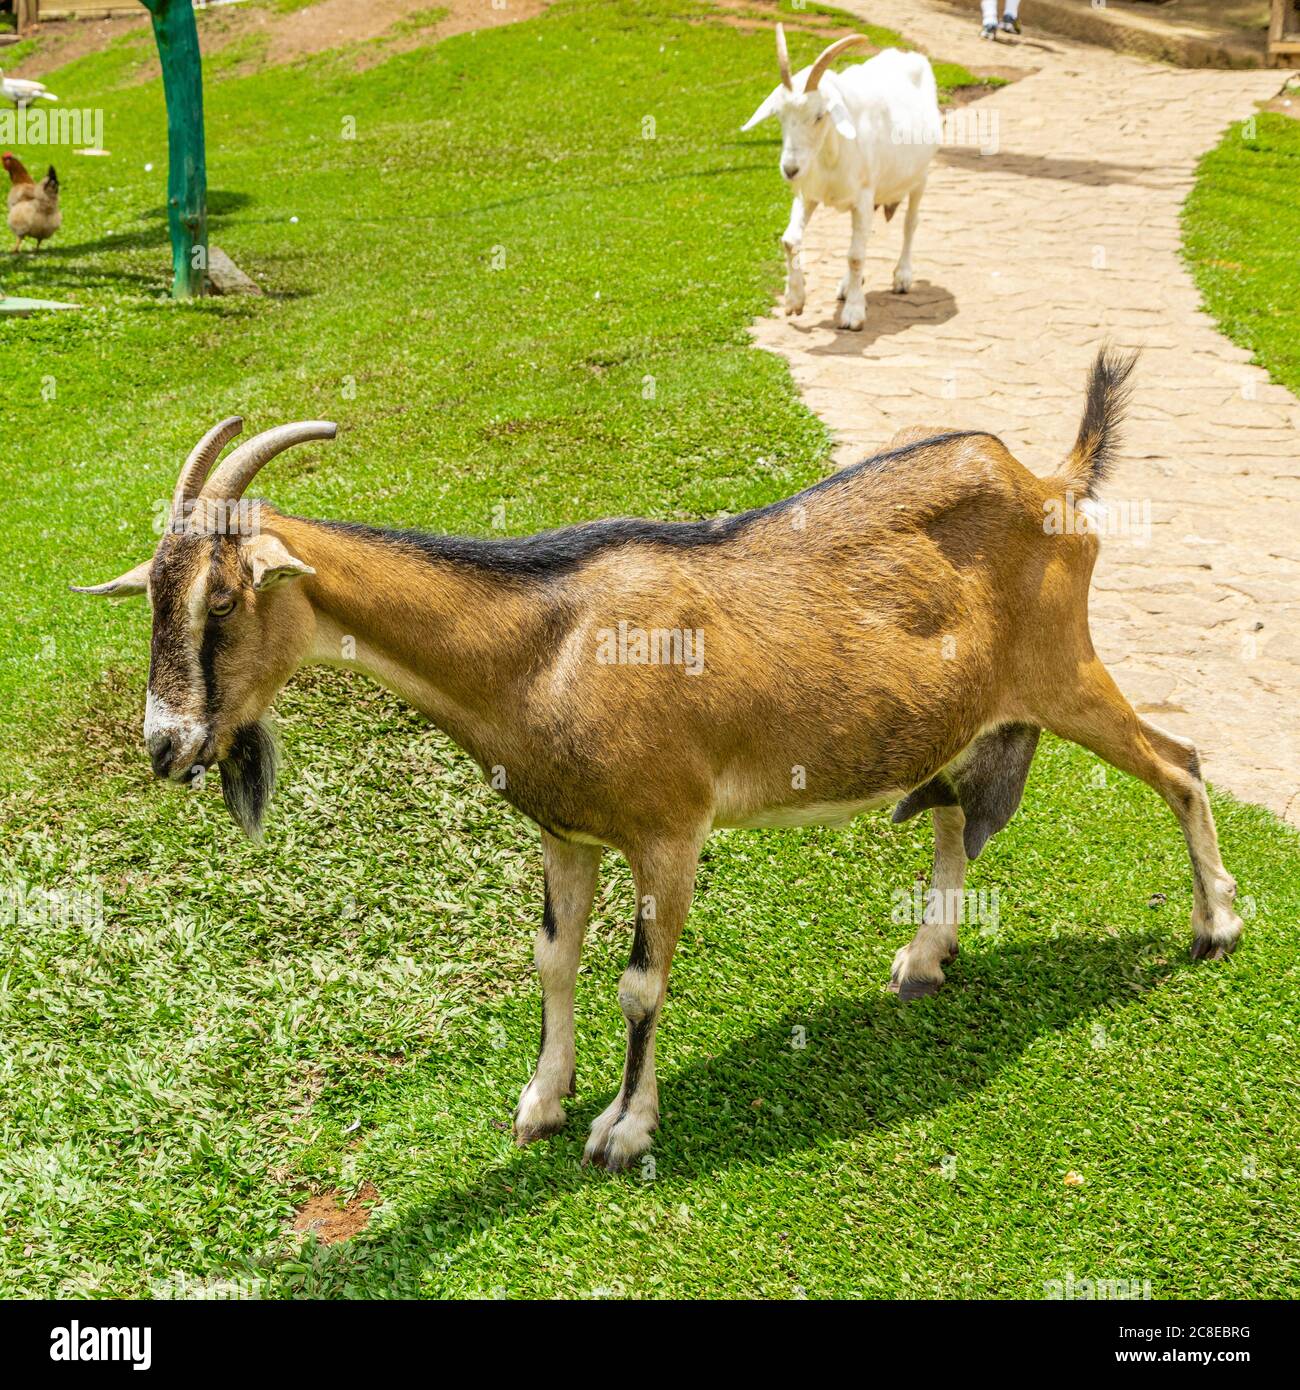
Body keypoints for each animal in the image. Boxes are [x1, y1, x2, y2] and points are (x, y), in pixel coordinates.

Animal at [74, 349, 1244, 1171]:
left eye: (221, 602)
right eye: (153, 594)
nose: (165, 745)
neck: (542, 647)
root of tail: (1053, 478)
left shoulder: (669, 830)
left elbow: (640, 982)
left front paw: (622, 1130)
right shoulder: (566, 831)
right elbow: (552, 958)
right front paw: (540, 1102)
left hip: (1065, 673)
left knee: (1180, 761)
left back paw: (1215, 924)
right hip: (962, 720)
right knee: (961, 812)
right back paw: (924, 958)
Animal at [741, 25, 941, 331]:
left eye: (819, 116)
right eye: (779, 116)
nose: (790, 169)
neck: (831, 156)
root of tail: (908, 56)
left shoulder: (863, 197)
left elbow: (856, 256)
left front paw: (853, 314)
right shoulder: (809, 194)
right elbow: (790, 240)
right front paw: (794, 300)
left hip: (921, 176)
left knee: (910, 223)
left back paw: (902, 276)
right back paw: (847, 286)